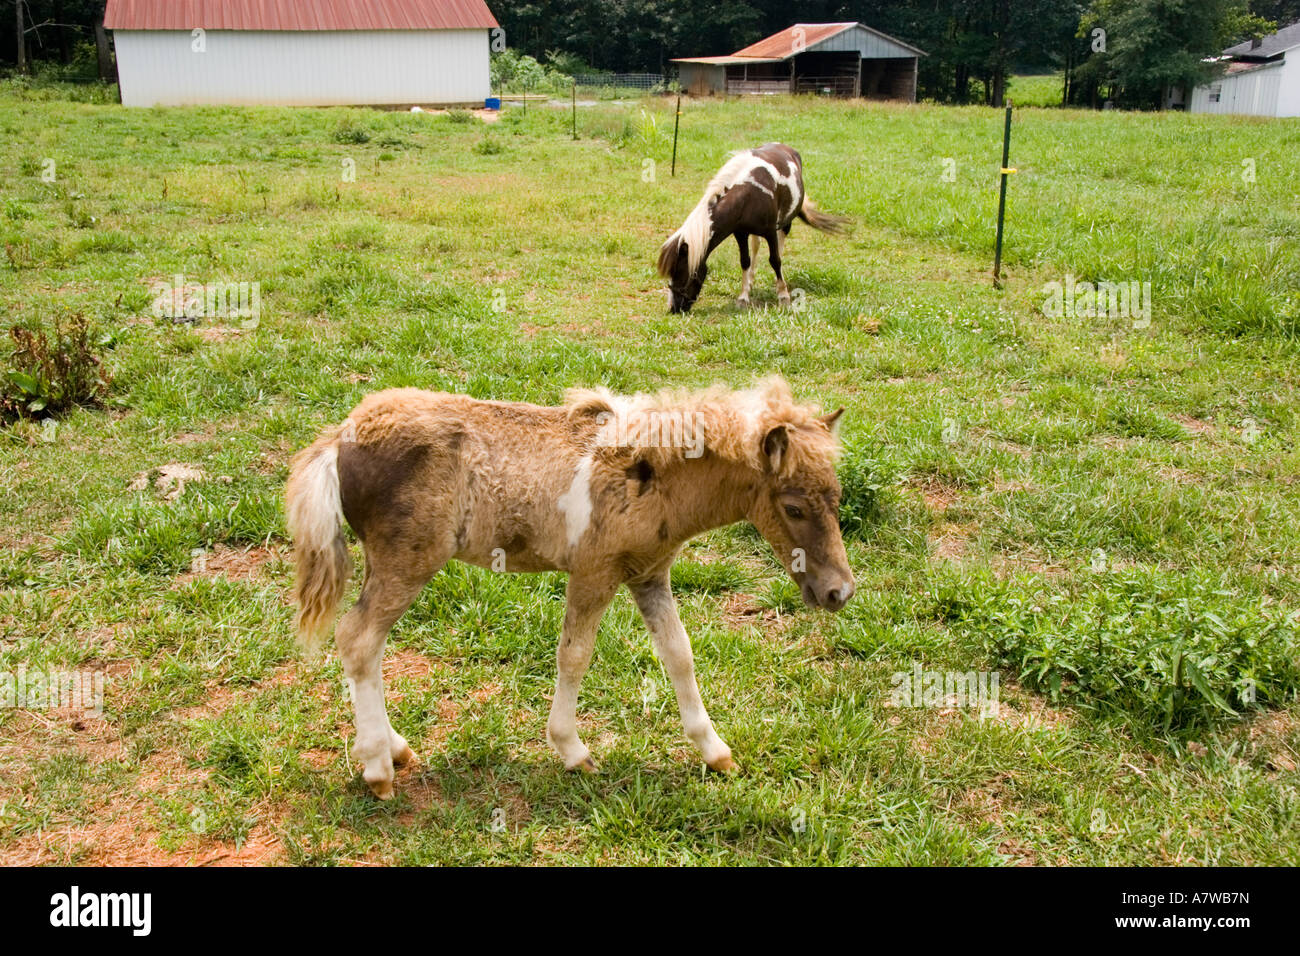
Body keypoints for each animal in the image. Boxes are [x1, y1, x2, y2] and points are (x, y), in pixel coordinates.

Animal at [286, 377, 855, 799]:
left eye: (838, 496)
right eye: (793, 508)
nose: (840, 593)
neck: (652, 476)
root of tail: (342, 434)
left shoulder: (649, 574)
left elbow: (679, 654)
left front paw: (715, 752)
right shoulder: (593, 573)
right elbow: (574, 655)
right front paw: (572, 751)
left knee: (369, 646)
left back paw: (396, 748)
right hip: (406, 562)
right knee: (359, 638)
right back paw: (378, 770)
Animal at [657, 143, 849, 314]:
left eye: (681, 273)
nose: (674, 308)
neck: (747, 195)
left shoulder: (770, 232)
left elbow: (775, 260)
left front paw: (783, 296)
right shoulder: (740, 233)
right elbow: (745, 261)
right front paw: (744, 296)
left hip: (785, 222)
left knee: (780, 244)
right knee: (756, 246)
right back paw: (751, 280)